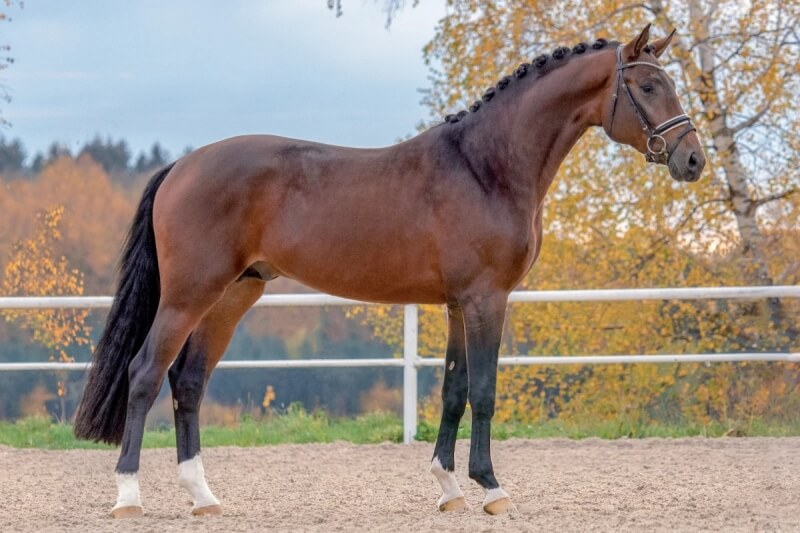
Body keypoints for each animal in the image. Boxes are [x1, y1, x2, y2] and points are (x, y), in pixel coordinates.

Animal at [73, 24, 704, 518]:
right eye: (649, 85)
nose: (693, 159)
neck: (485, 167)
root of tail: (184, 164)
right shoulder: (486, 299)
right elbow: (484, 391)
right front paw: (491, 488)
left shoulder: (457, 303)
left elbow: (452, 391)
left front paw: (449, 487)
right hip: (188, 294)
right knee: (146, 373)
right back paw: (128, 497)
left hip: (231, 296)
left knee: (189, 381)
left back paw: (203, 497)